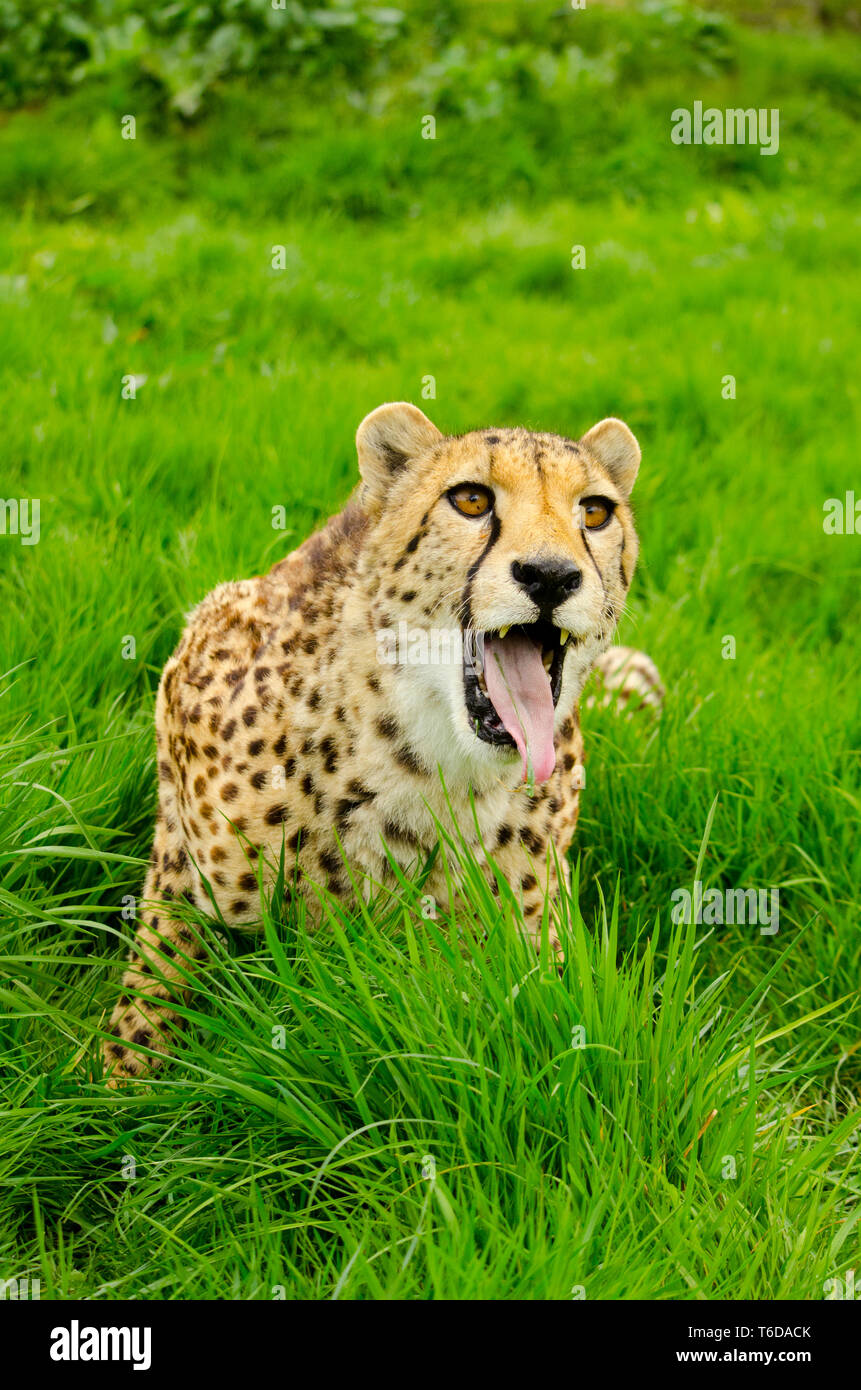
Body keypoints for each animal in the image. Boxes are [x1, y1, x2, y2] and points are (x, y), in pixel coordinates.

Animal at [103, 402, 663, 1081]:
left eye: (595, 511)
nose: (551, 575)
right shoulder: (190, 853)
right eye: (471, 500)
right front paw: (121, 1079)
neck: (432, 771)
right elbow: (152, 990)